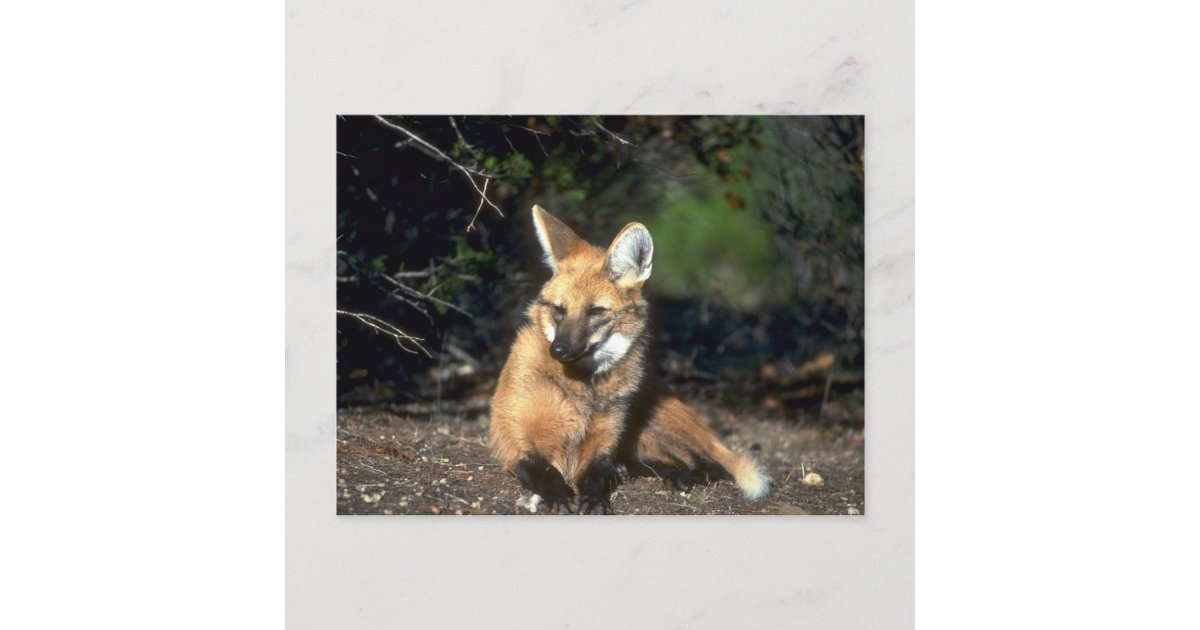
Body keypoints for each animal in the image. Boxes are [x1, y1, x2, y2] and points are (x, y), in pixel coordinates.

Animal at [488, 205, 770, 514]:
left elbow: (596, 475)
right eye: (559, 311)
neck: (585, 389)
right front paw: (558, 498)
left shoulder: (601, 446)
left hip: (650, 427)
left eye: (596, 311)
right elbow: (547, 472)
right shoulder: (516, 444)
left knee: (712, 465)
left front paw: (595, 500)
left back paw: (675, 476)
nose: (558, 350)